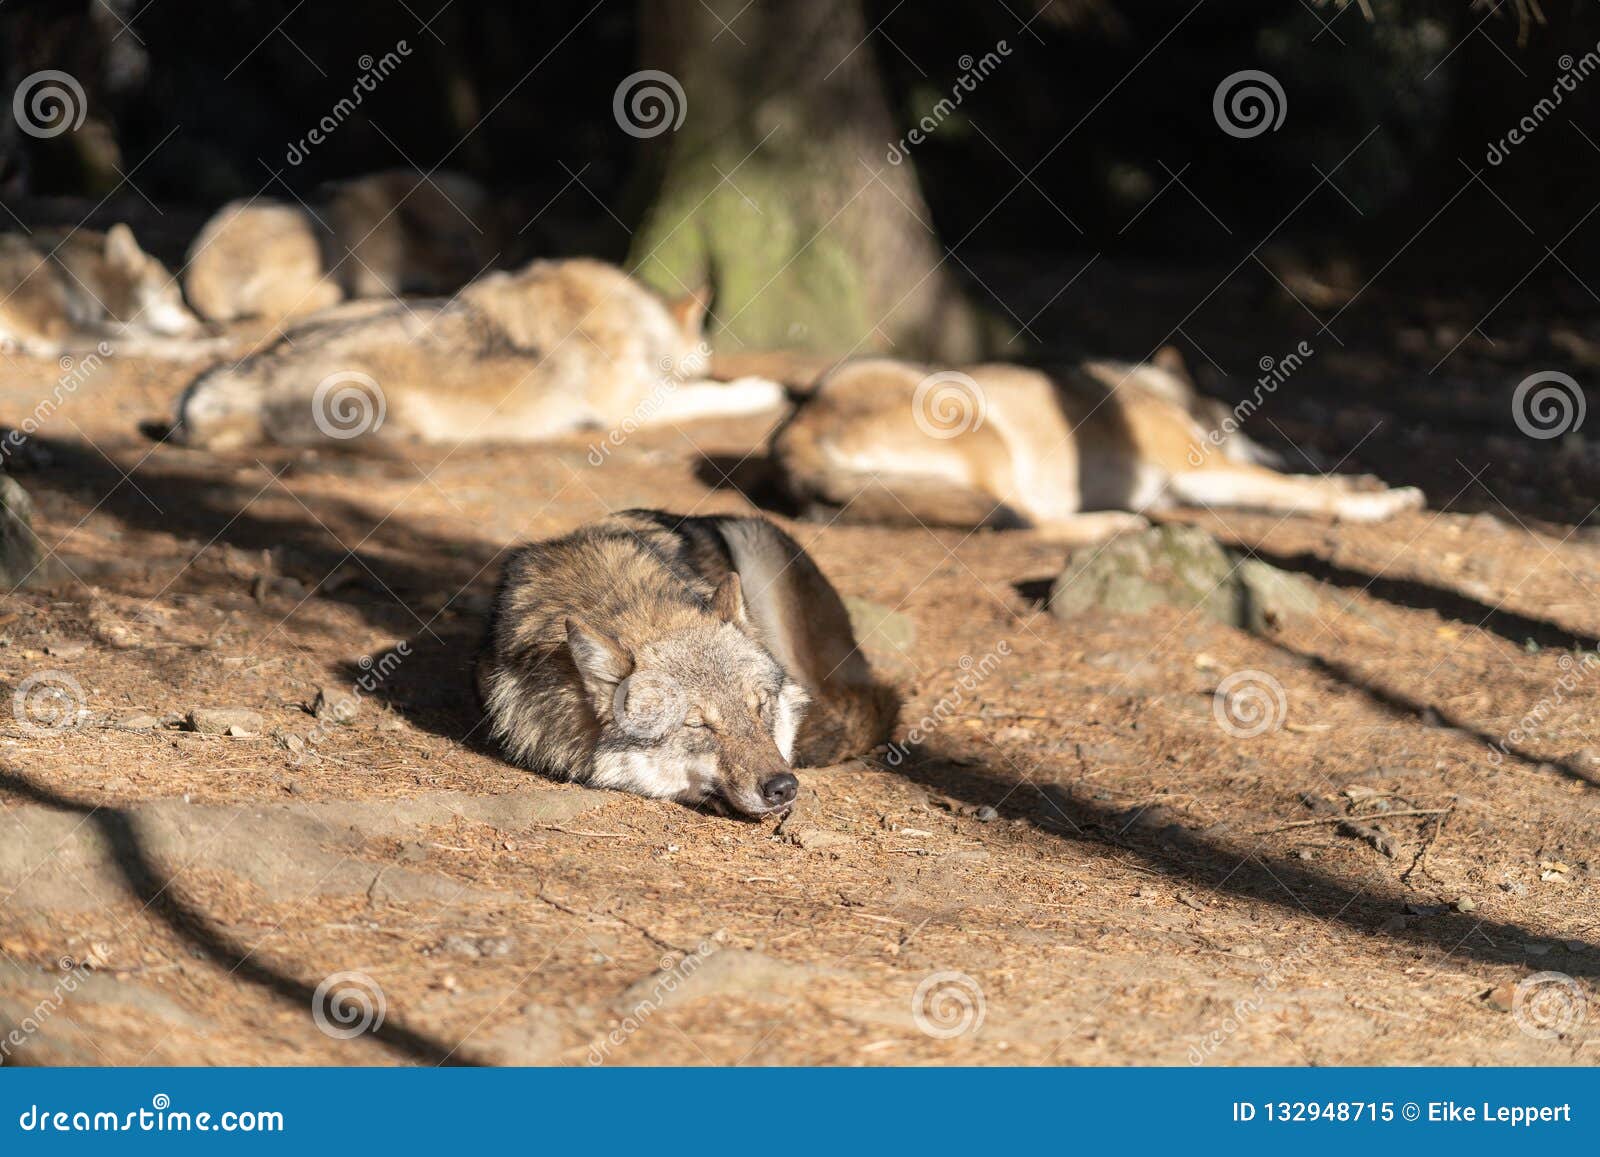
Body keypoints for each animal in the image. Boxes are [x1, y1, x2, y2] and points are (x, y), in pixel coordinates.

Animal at [770, 357, 1424, 543]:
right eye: (1243, 427)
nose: (1276, 452)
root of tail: (799, 425)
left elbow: (1314, 483)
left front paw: (1364, 483)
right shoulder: (1205, 468)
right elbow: (1300, 493)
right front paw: (1375, 503)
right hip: (977, 425)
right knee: (1030, 524)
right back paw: (1116, 524)